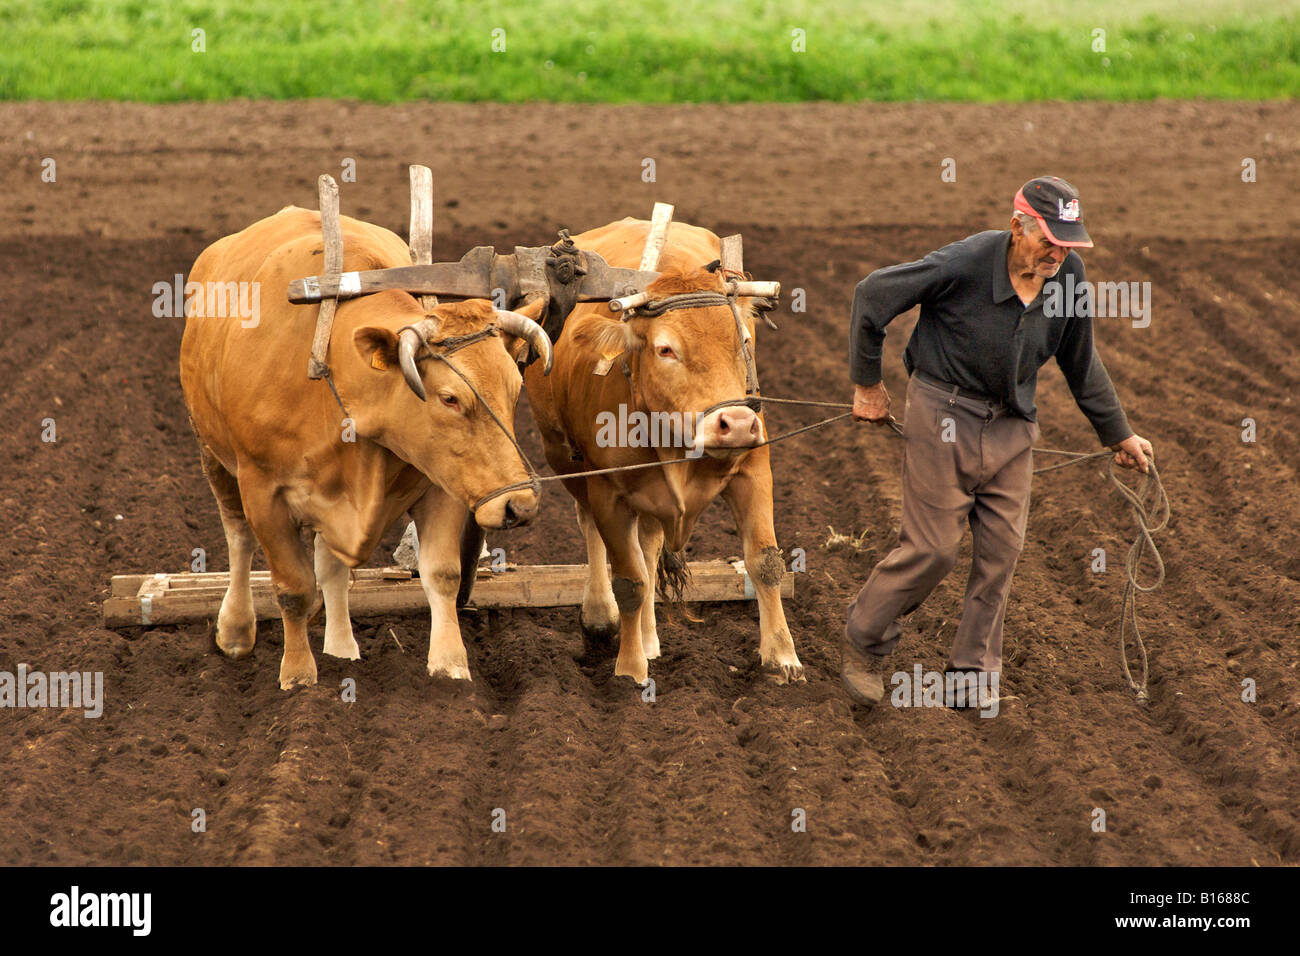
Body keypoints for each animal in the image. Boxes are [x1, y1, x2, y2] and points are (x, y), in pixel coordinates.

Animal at [180, 207, 552, 689]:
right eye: (450, 398)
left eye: (514, 388)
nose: (518, 506)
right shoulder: (263, 491)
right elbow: (292, 588)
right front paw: (298, 675)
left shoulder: (441, 484)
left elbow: (442, 575)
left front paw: (450, 667)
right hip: (213, 453)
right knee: (239, 538)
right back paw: (236, 629)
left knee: (332, 568)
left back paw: (342, 647)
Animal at [523, 217, 804, 685]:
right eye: (666, 348)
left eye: (745, 340)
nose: (736, 423)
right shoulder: (607, 493)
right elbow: (629, 581)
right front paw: (629, 669)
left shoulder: (754, 469)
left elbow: (765, 563)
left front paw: (783, 658)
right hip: (562, 455)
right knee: (594, 532)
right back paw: (600, 616)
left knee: (650, 547)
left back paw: (650, 637)